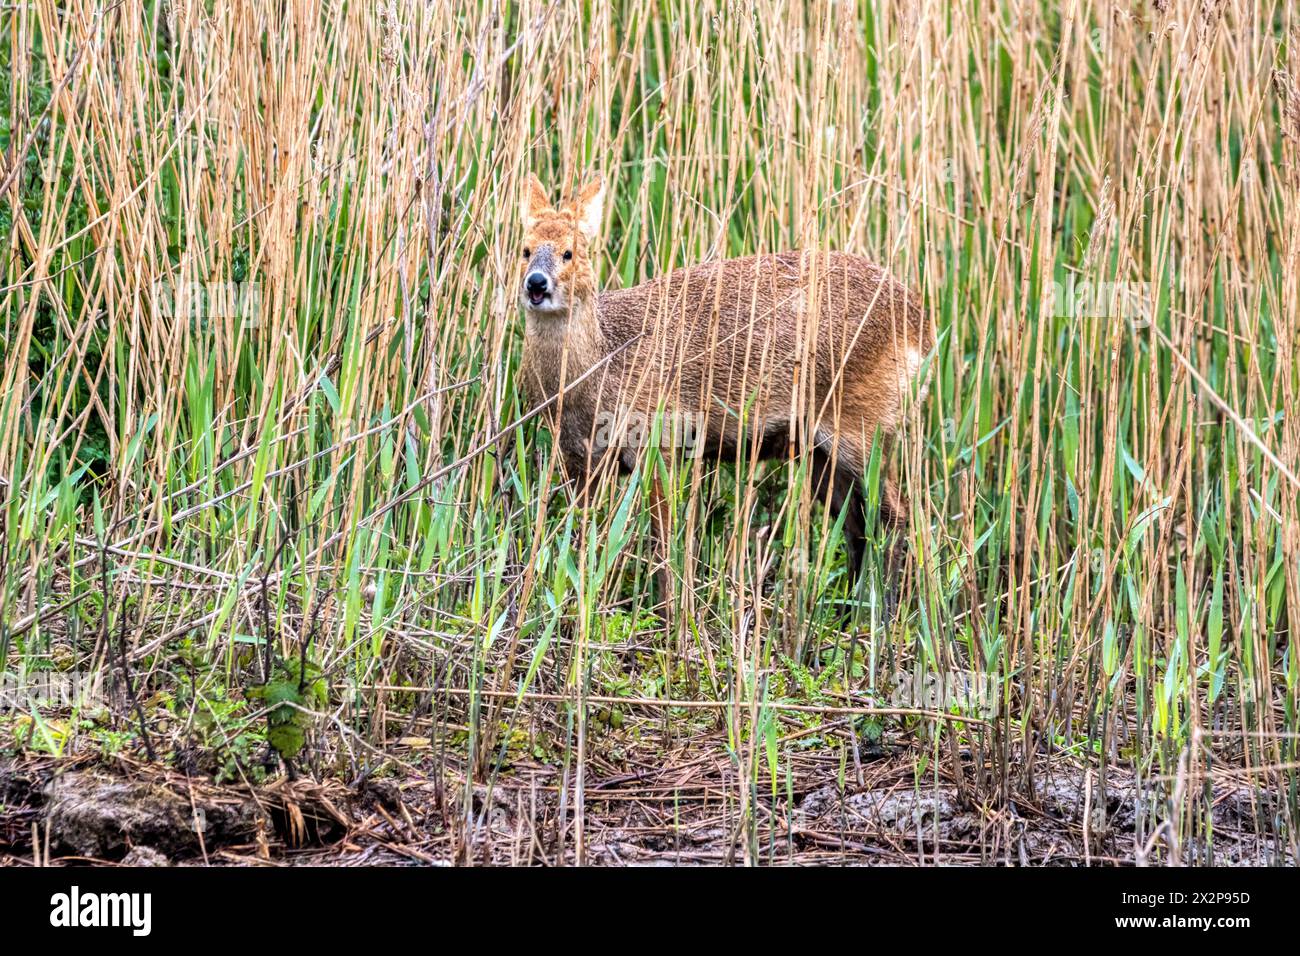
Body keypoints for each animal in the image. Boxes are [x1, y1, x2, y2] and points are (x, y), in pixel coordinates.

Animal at [515, 171, 932, 604]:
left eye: (570, 253)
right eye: (525, 249)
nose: (536, 284)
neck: (602, 364)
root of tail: (921, 322)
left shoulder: (661, 440)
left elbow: (665, 543)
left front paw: (669, 616)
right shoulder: (578, 461)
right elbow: (580, 541)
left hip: (861, 428)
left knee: (897, 515)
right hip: (817, 450)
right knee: (856, 523)